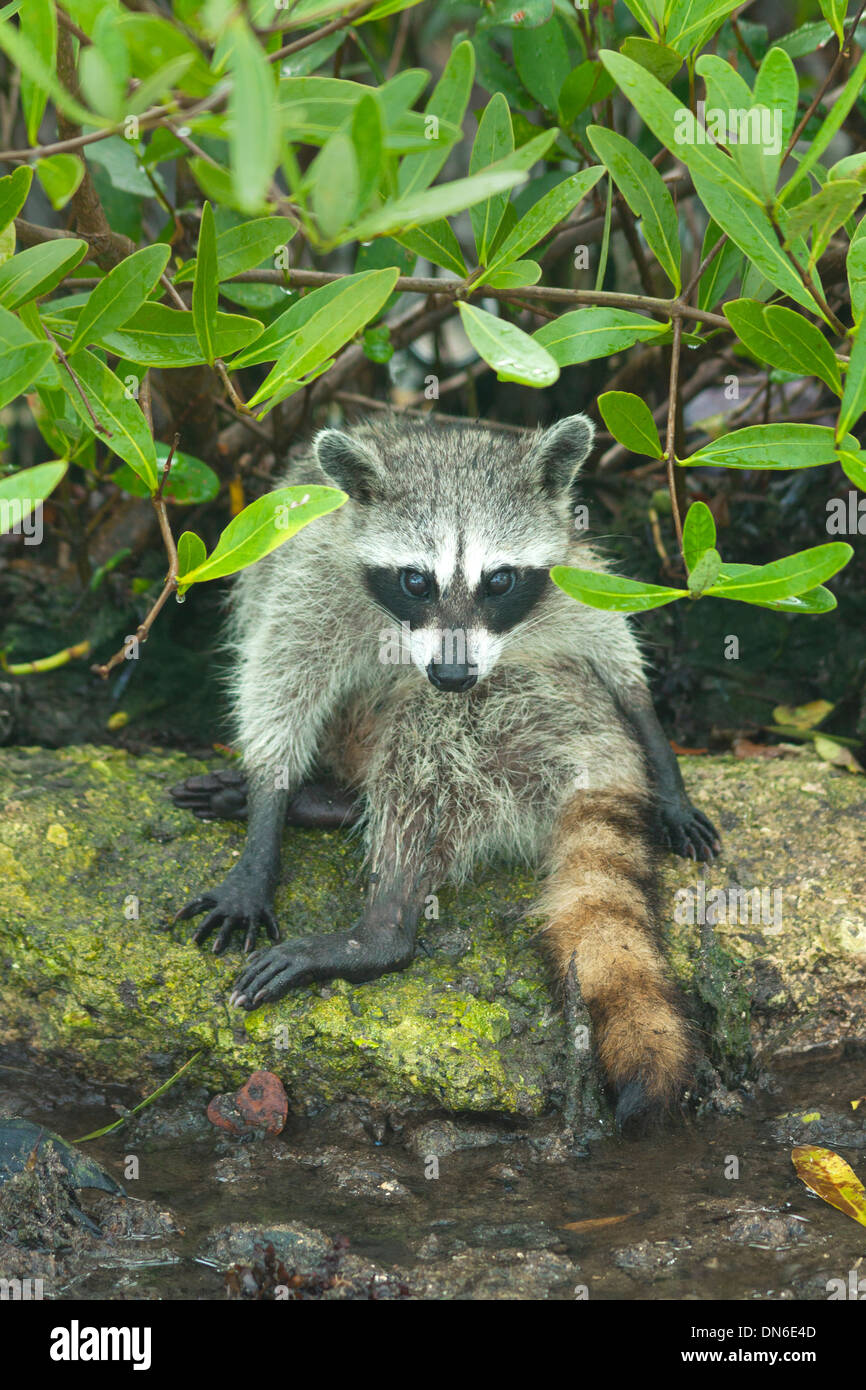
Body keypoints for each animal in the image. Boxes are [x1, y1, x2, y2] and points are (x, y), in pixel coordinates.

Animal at [174, 413, 720, 1129]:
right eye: (416, 581)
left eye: (498, 580)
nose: (456, 672)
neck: (445, 454)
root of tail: (604, 755)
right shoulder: (313, 577)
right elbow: (278, 685)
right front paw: (265, 819)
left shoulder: (568, 576)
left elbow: (614, 650)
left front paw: (658, 738)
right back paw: (330, 811)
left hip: (546, 717)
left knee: (432, 739)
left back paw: (380, 930)